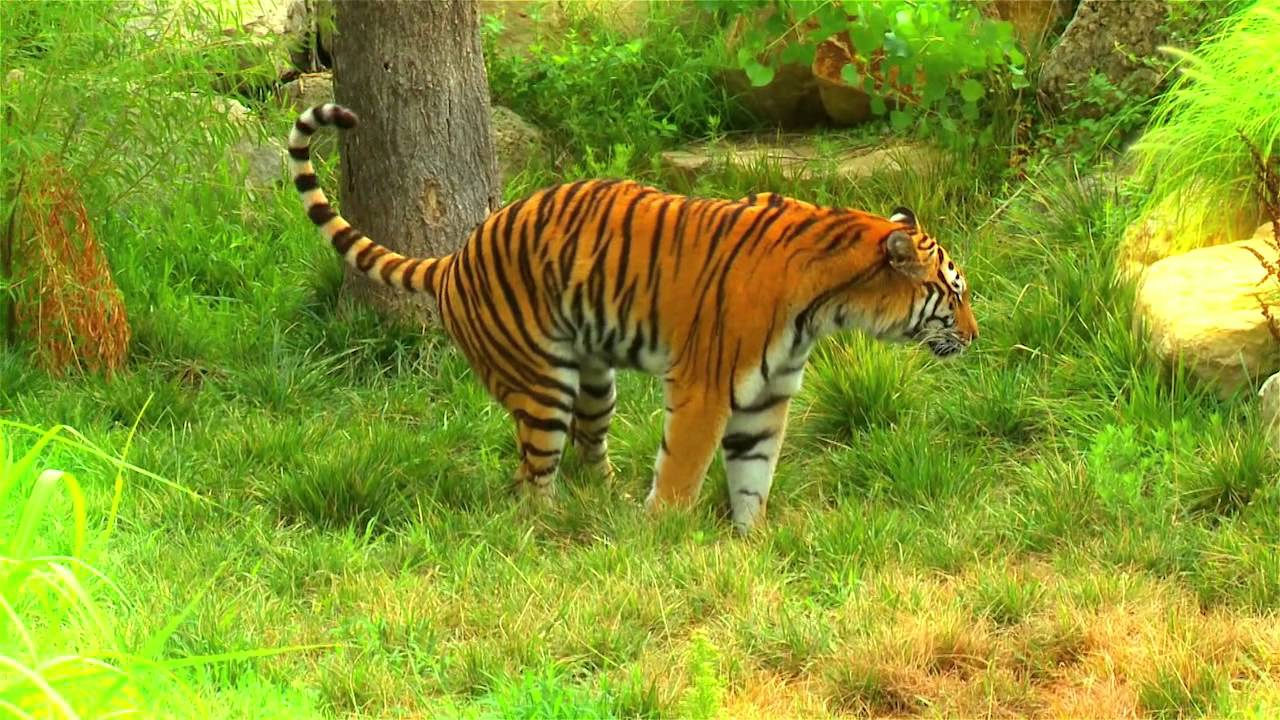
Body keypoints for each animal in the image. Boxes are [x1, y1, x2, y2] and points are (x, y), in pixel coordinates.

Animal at [288, 103, 977, 534]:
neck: (826, 308)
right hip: (542, 384)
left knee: (584, 450)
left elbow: (754, 473)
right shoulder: (706, 388)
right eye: (954, 292)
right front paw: (663, 538)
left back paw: (606, 500)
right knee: (531, 479)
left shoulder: (767, 397)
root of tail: (454, 259)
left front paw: (751, 541)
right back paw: (557, 525)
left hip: (596, 383)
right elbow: (684, 469)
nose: (975, 336)